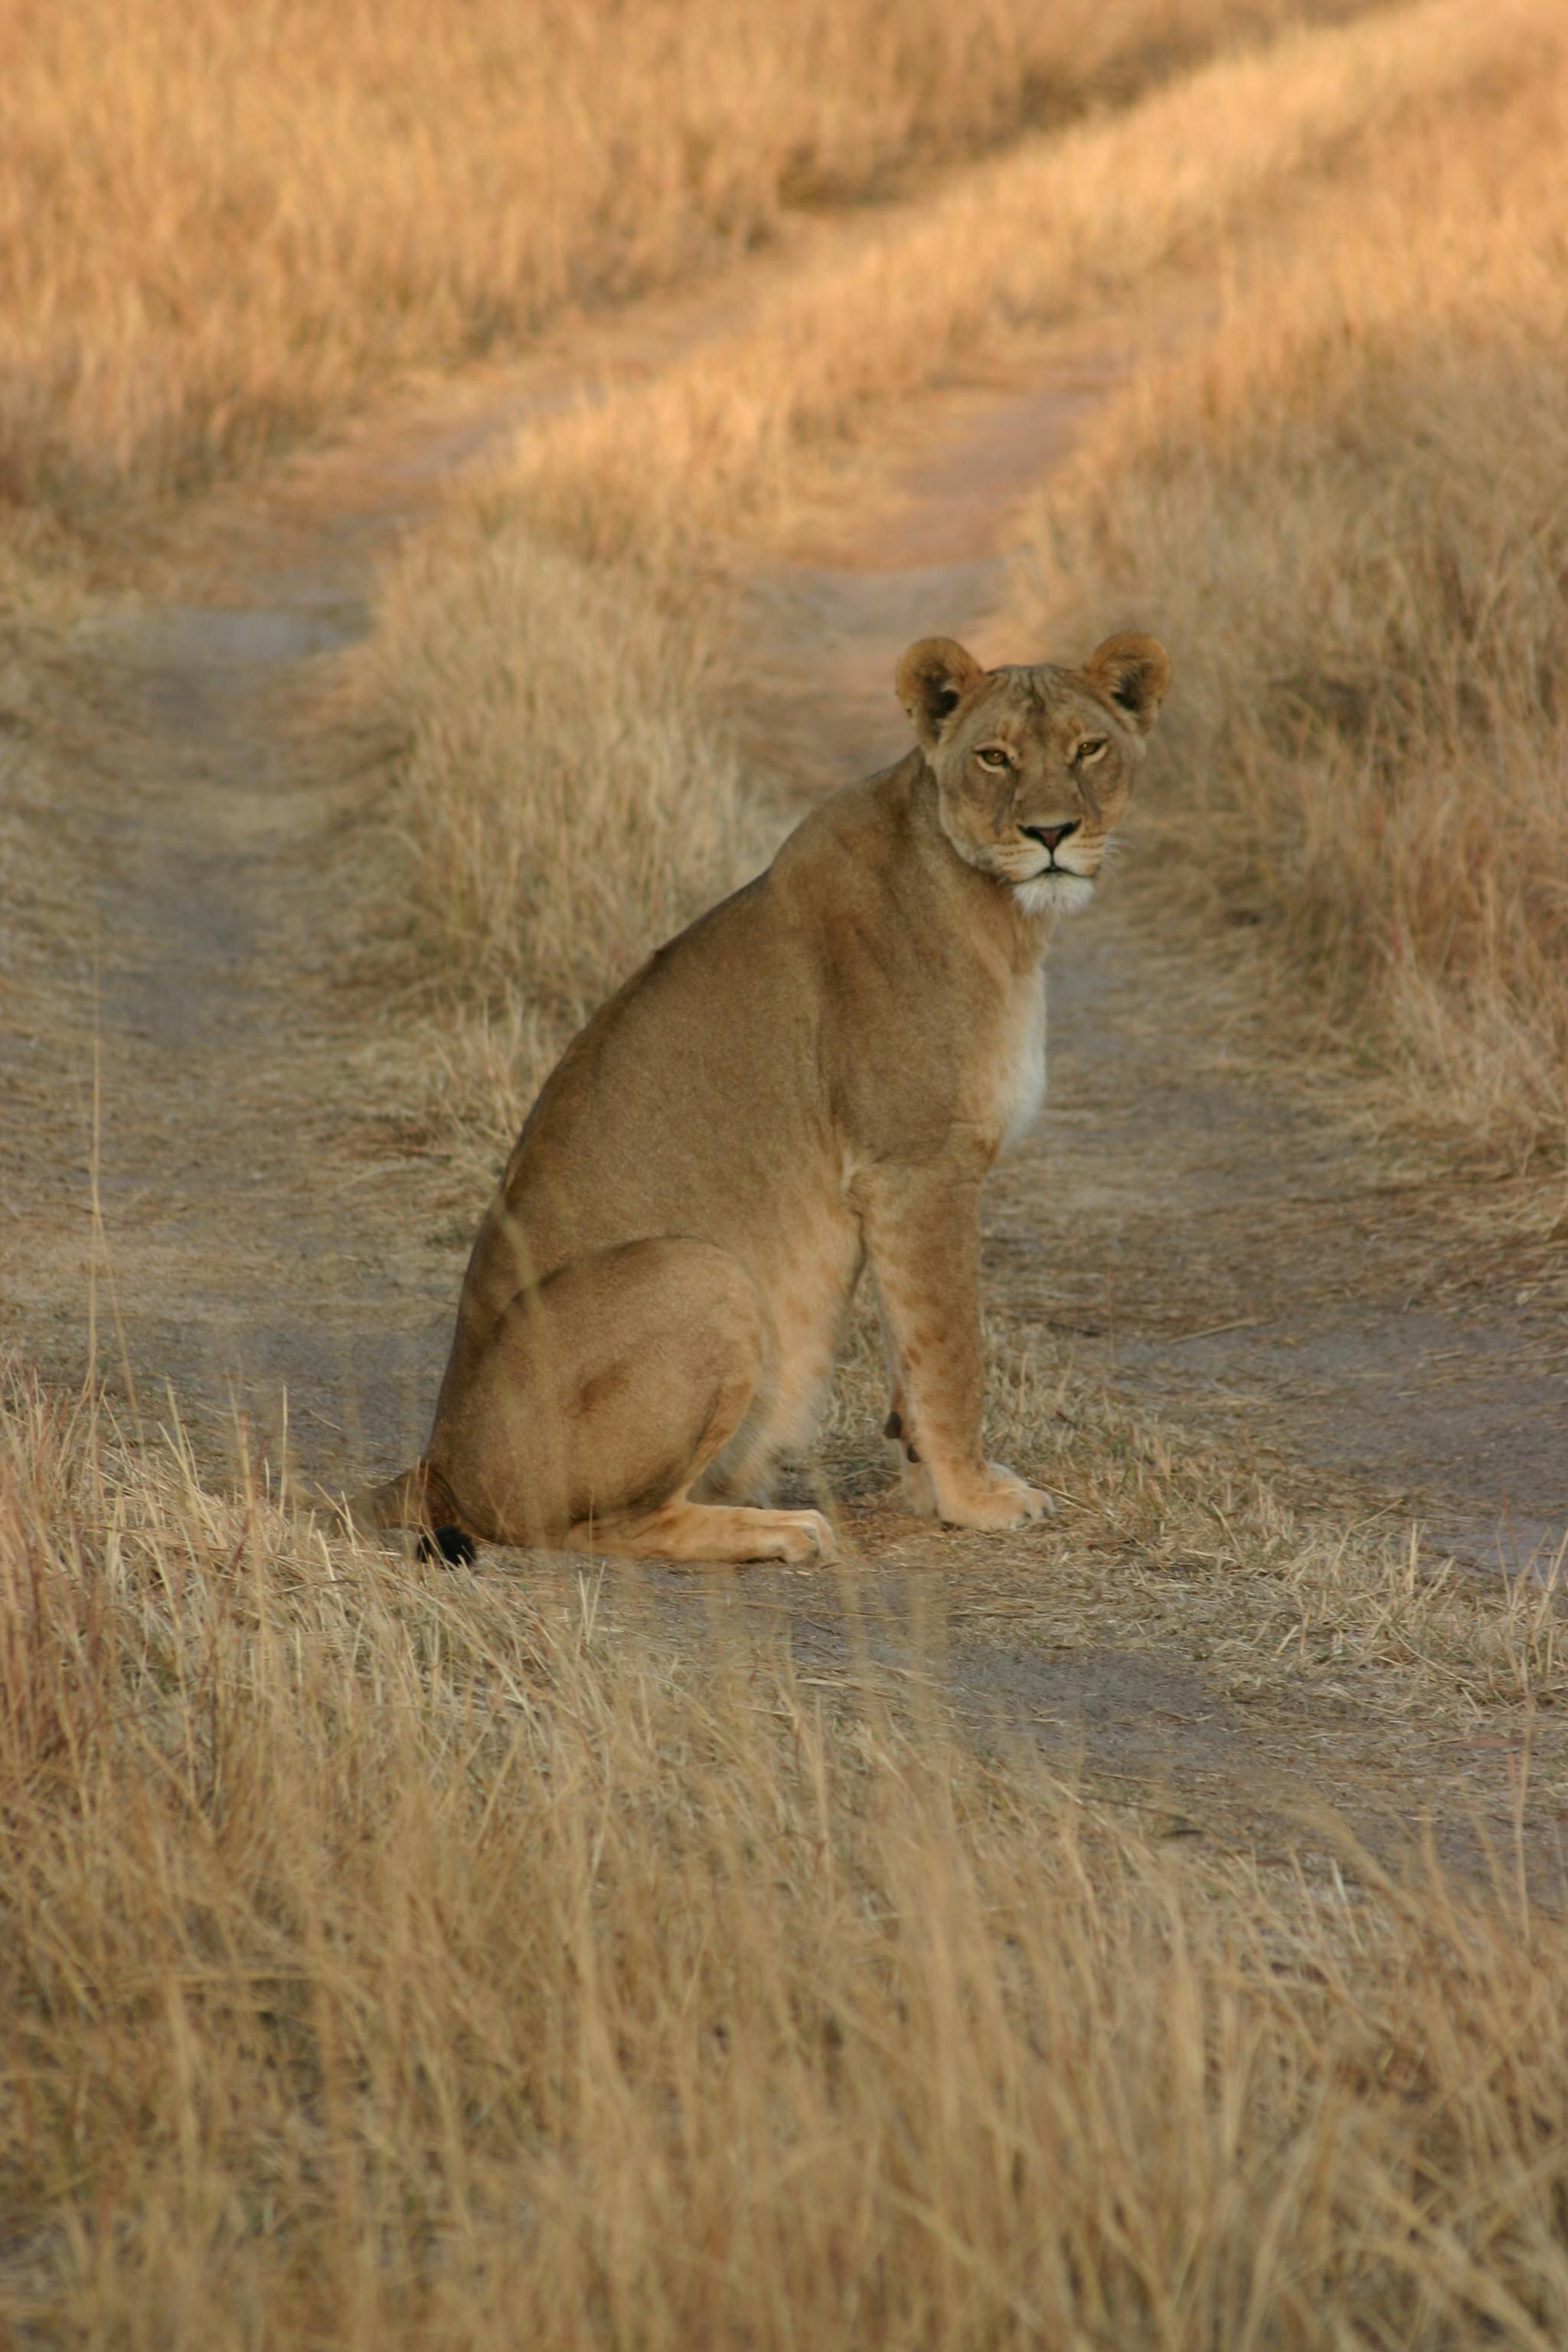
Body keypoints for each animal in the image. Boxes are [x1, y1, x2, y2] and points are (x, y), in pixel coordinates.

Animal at [357, 630, 1170, 1565]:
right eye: (993, 757)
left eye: (1089, 748)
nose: (1051, 833)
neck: (1005, 918)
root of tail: (436, 1463)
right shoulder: (916, 1164)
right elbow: (950, 1351)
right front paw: (975, 1501)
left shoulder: (896, 1185)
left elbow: (909, 1350)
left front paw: (933, 1490)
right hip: (699, 1273)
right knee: (603, 1528)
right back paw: (781, 1530)